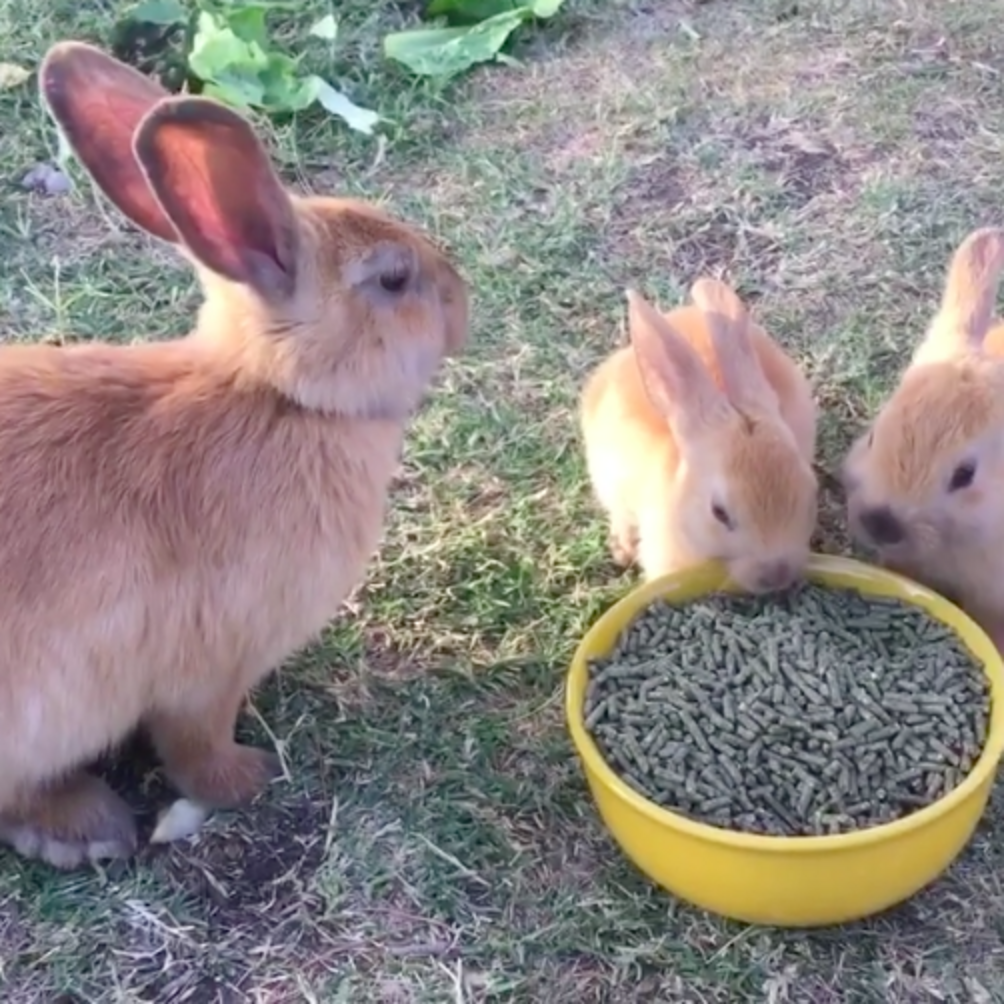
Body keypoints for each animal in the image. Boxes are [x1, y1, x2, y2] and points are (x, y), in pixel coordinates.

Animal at [0, 40, 469, 870]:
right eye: (394, 279)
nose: (464, 305)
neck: (280, 398)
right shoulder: (204, 673)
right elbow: (195, 747)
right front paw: (248, 779)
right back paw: (86, 827)